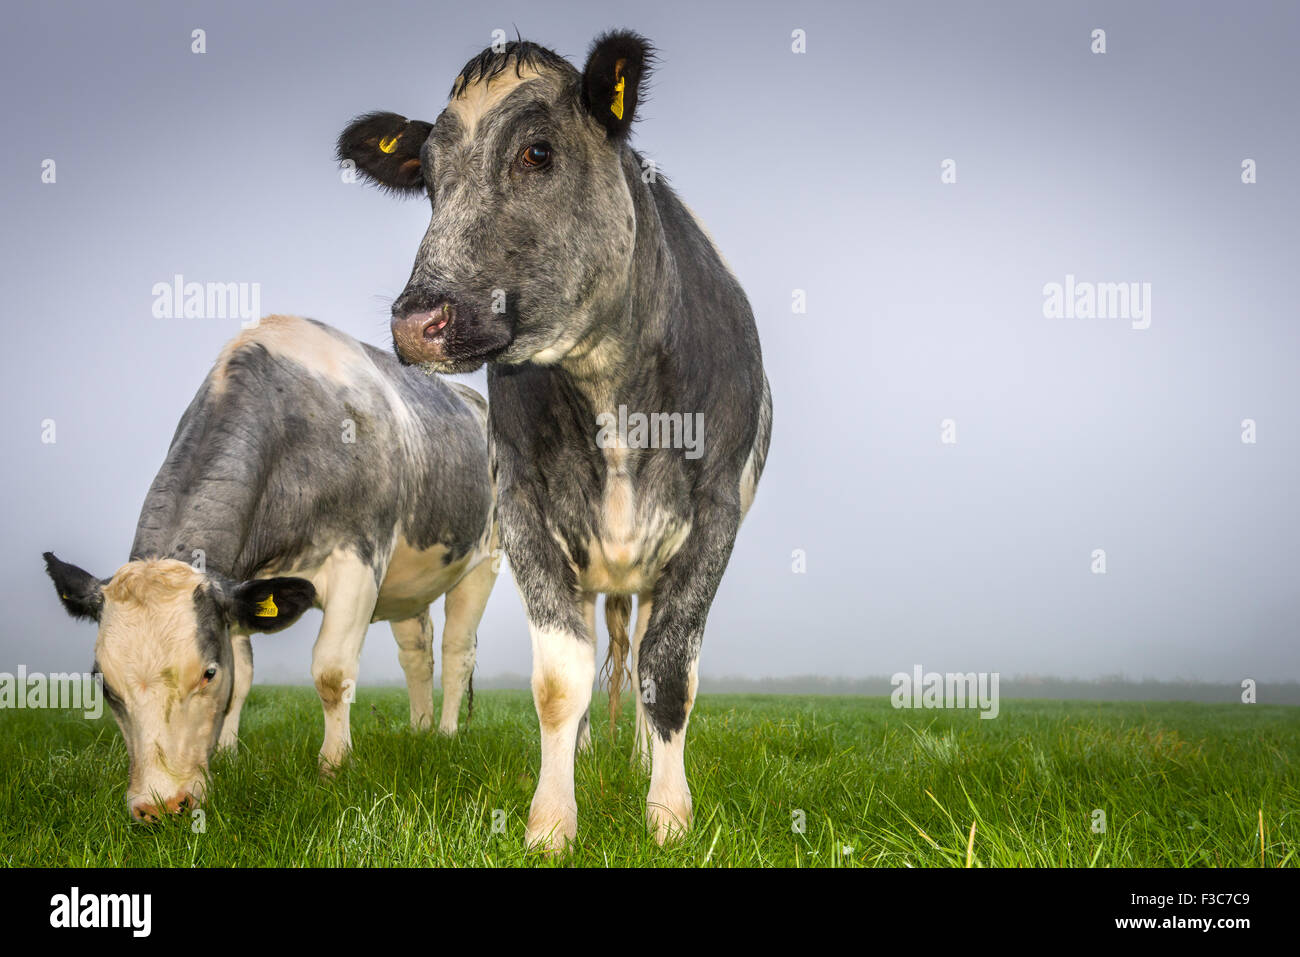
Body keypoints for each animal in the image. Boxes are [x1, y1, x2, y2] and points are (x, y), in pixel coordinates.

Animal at [43, 315, 498, 821]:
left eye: (206, 673)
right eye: (103, 685)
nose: (161, 807)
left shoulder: (357, 561)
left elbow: (331, 673)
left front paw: (333, 767)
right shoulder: (239, 586)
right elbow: (244, 677)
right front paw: (227, 754)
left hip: (485, 558)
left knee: (457, 651)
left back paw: (446, 734)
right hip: (409, 583)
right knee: (416, 653)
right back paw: (419, 730)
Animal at [337, 31, 772, 851]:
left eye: (537, 152)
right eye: (428, 177)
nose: (418, 321)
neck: (610, 387)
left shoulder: (714, 516)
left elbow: (670, 673)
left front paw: (669, 817)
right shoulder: (526, 511)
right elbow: (558, 682)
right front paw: (551, 822)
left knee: (644, 659)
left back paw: (641, 758)